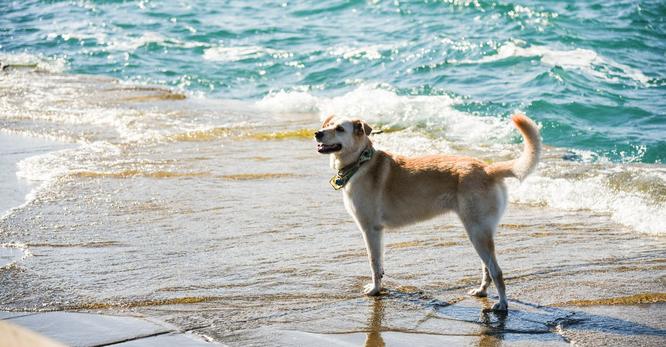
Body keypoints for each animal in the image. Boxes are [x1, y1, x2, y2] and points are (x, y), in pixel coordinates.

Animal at [312, 113, 540, 312]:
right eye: (327, 124)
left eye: (340, 129)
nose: (317, 133)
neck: (361, 162)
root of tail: (488, 169)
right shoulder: (378, 233)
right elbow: (380, 264)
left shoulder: (370, 229)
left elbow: (374, 263)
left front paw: (376, 290)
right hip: (480, 233)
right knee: (487, 269)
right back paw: (482, 291)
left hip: (477, 232)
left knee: (497, 272)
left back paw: (502, 303)